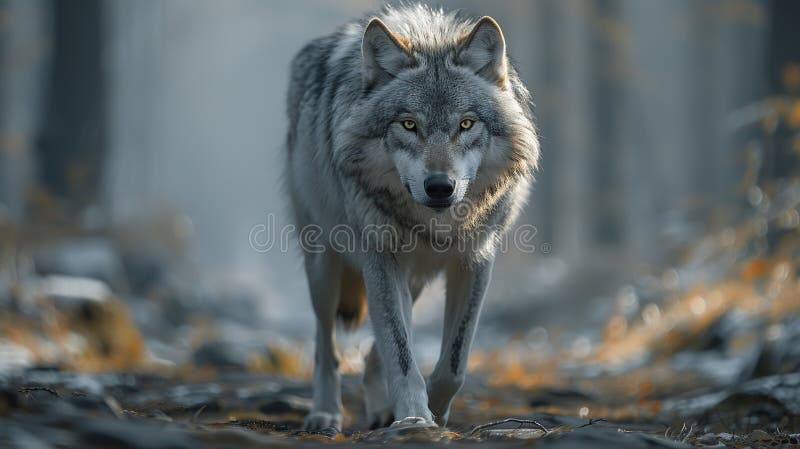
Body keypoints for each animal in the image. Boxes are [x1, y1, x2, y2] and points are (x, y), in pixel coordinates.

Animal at [285, 4, 539, 431]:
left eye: (466, 124)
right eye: (408, 124)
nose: (439, 187)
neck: (438, 225)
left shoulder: (476, 262)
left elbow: (453, 364)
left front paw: (430, 409)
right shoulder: (381, 259)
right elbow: (401, 355)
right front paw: (416, 418)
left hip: (415, 278)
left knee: (373, 353)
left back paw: (380, 410)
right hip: (323, 267)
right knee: (326, 345)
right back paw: (325, 412)